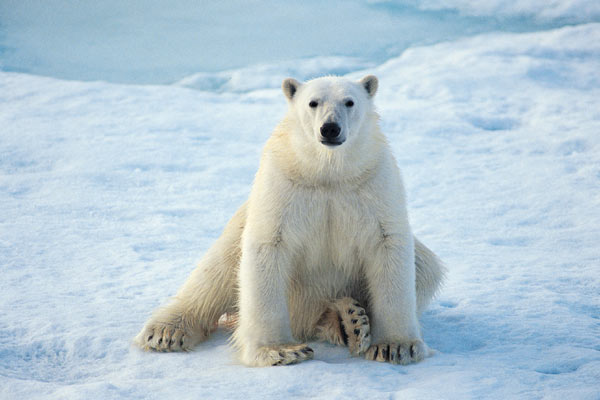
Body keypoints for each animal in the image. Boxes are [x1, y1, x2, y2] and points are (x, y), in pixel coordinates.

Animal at [136, 74, 446, 366]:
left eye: (349, 102)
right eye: (313, 102)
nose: (330, 128)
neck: (327, 173)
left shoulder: (373, 183)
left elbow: (387, 245)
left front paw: (395, 347)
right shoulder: (283, 185)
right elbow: (268, 247)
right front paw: (281, 351)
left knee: (426, 267)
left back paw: (349, 320)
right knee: (215, 273)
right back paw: (165, 332)